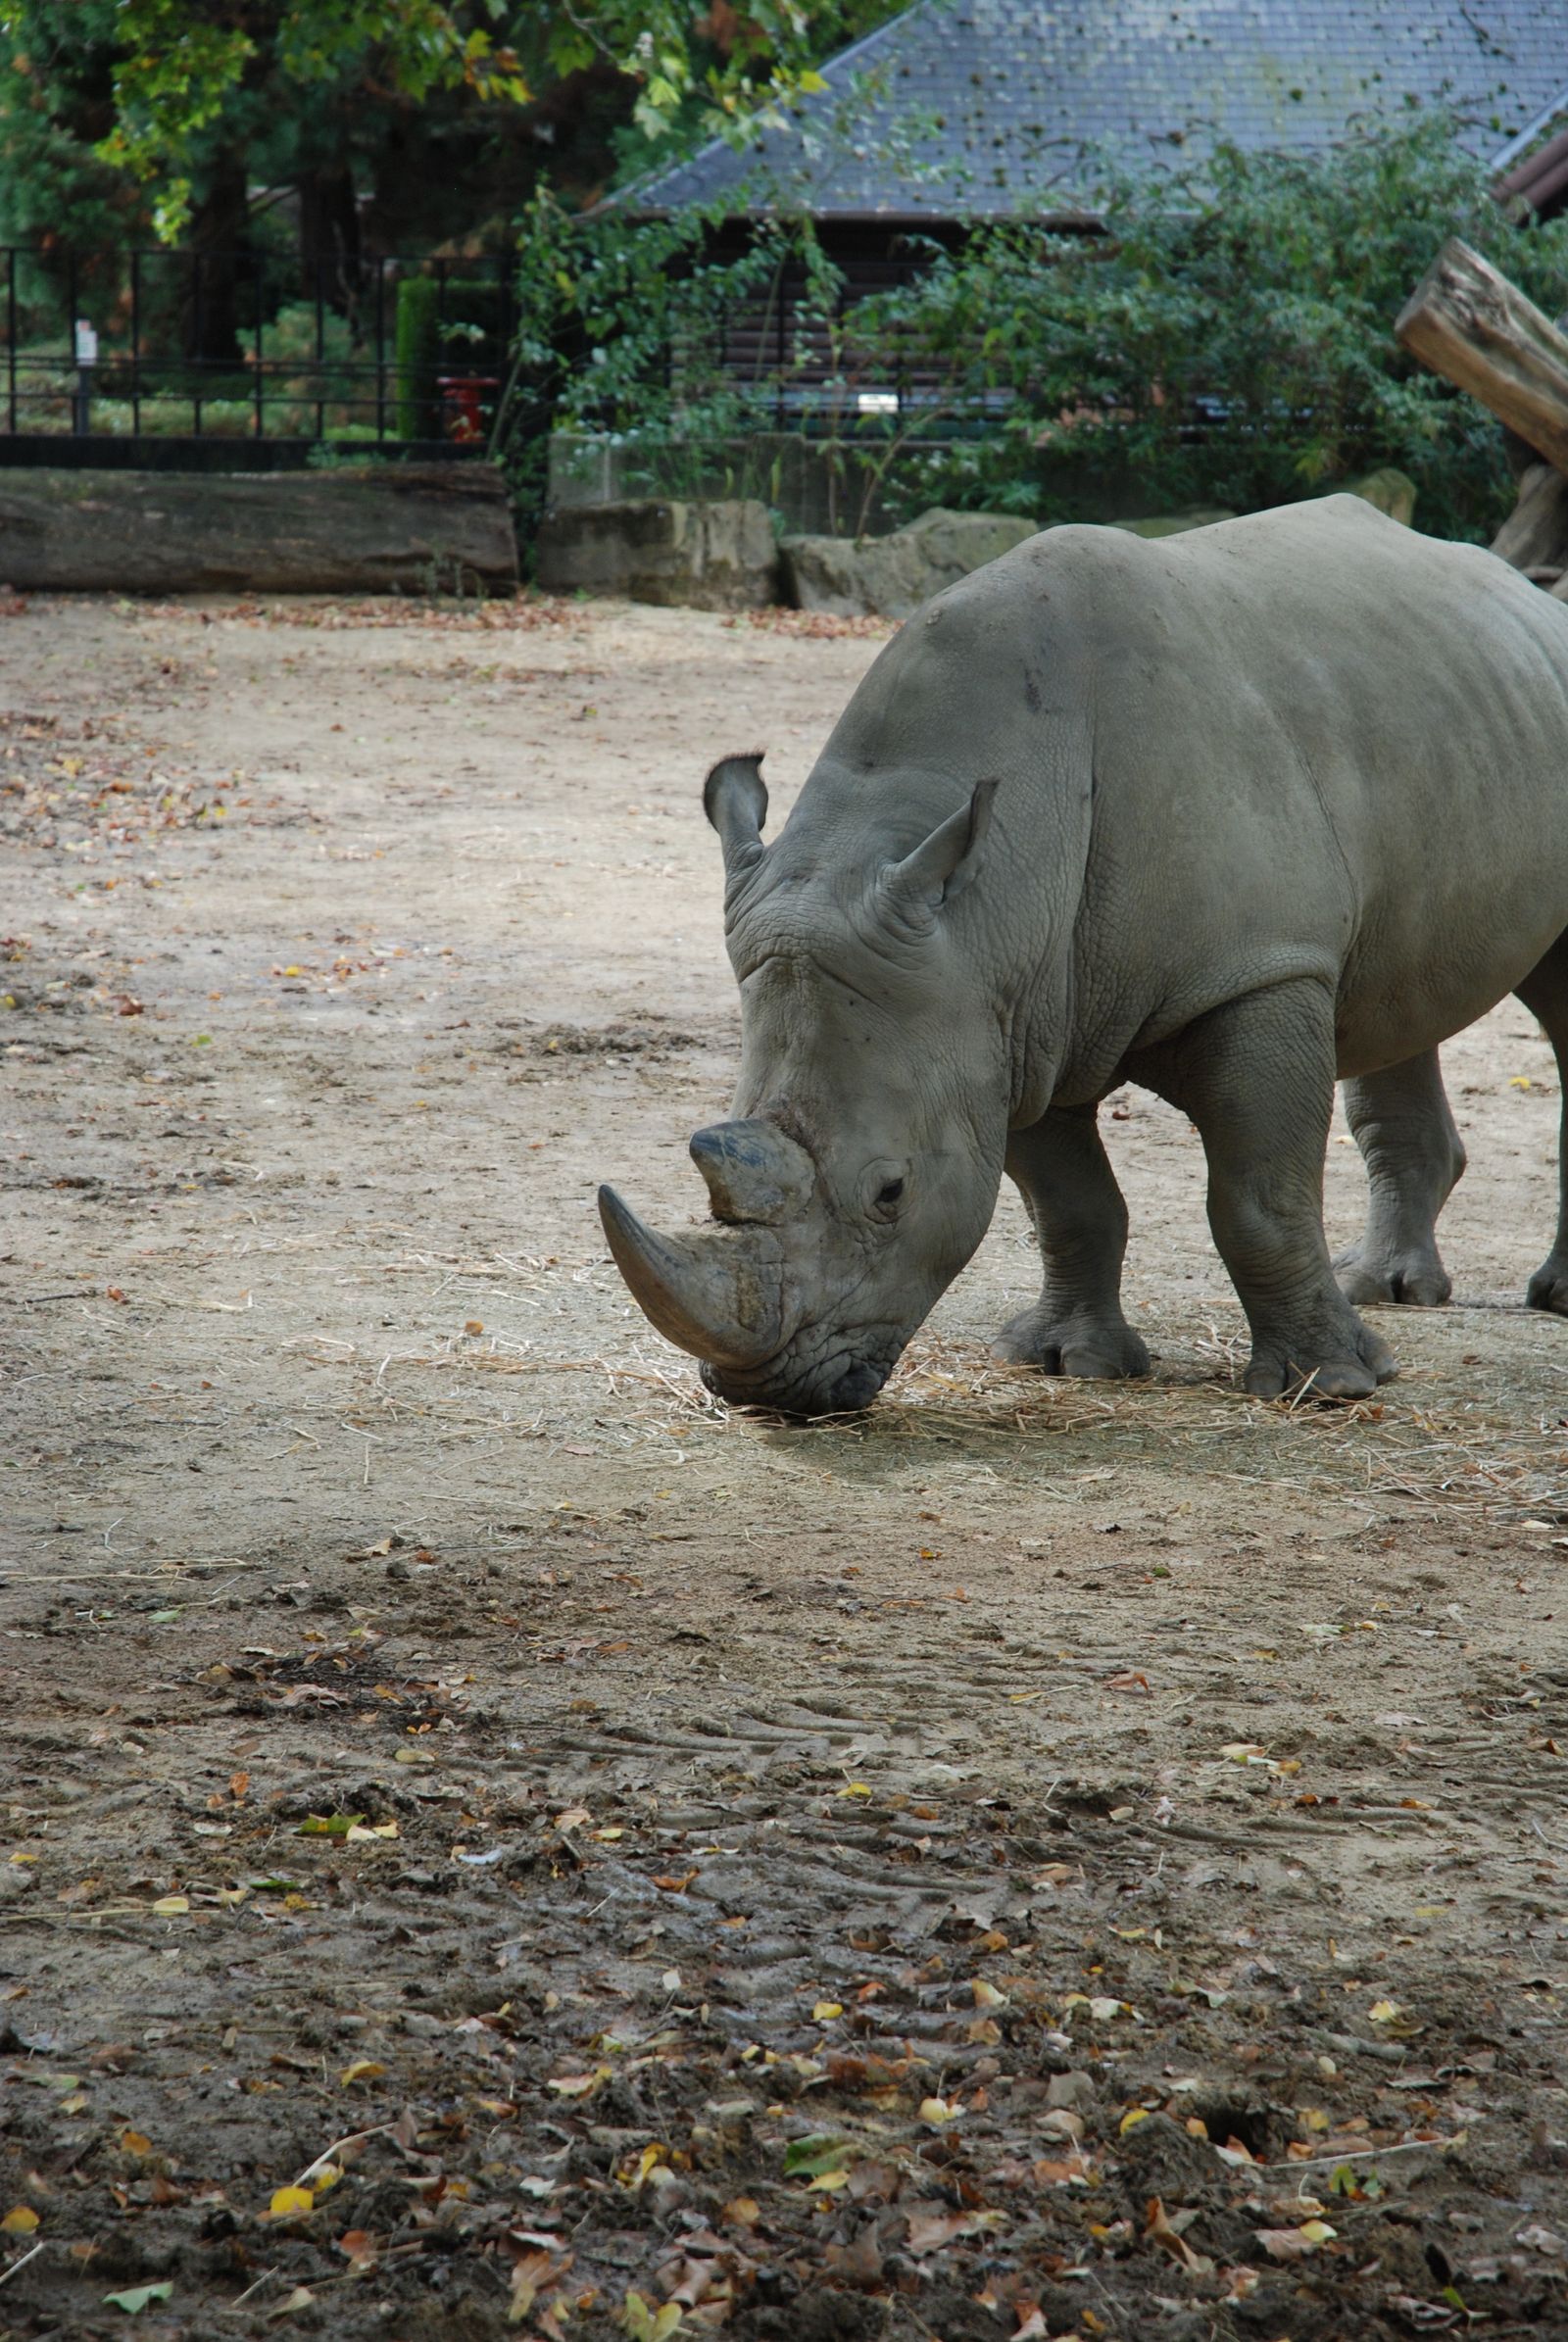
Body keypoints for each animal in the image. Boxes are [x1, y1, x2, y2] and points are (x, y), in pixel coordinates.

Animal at [599, 496, 1568, 1416]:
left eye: (891, 1193)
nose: (768, 1393)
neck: (988, 897)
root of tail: (1524, 595)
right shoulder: (1005, 1012)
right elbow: (1068, 1202)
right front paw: (1069, 1362)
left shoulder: (1255, 970)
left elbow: (1259, 1196)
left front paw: (1327, 1386)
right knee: (1394, 997)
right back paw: (1389, 1291)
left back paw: (1540, 1301)